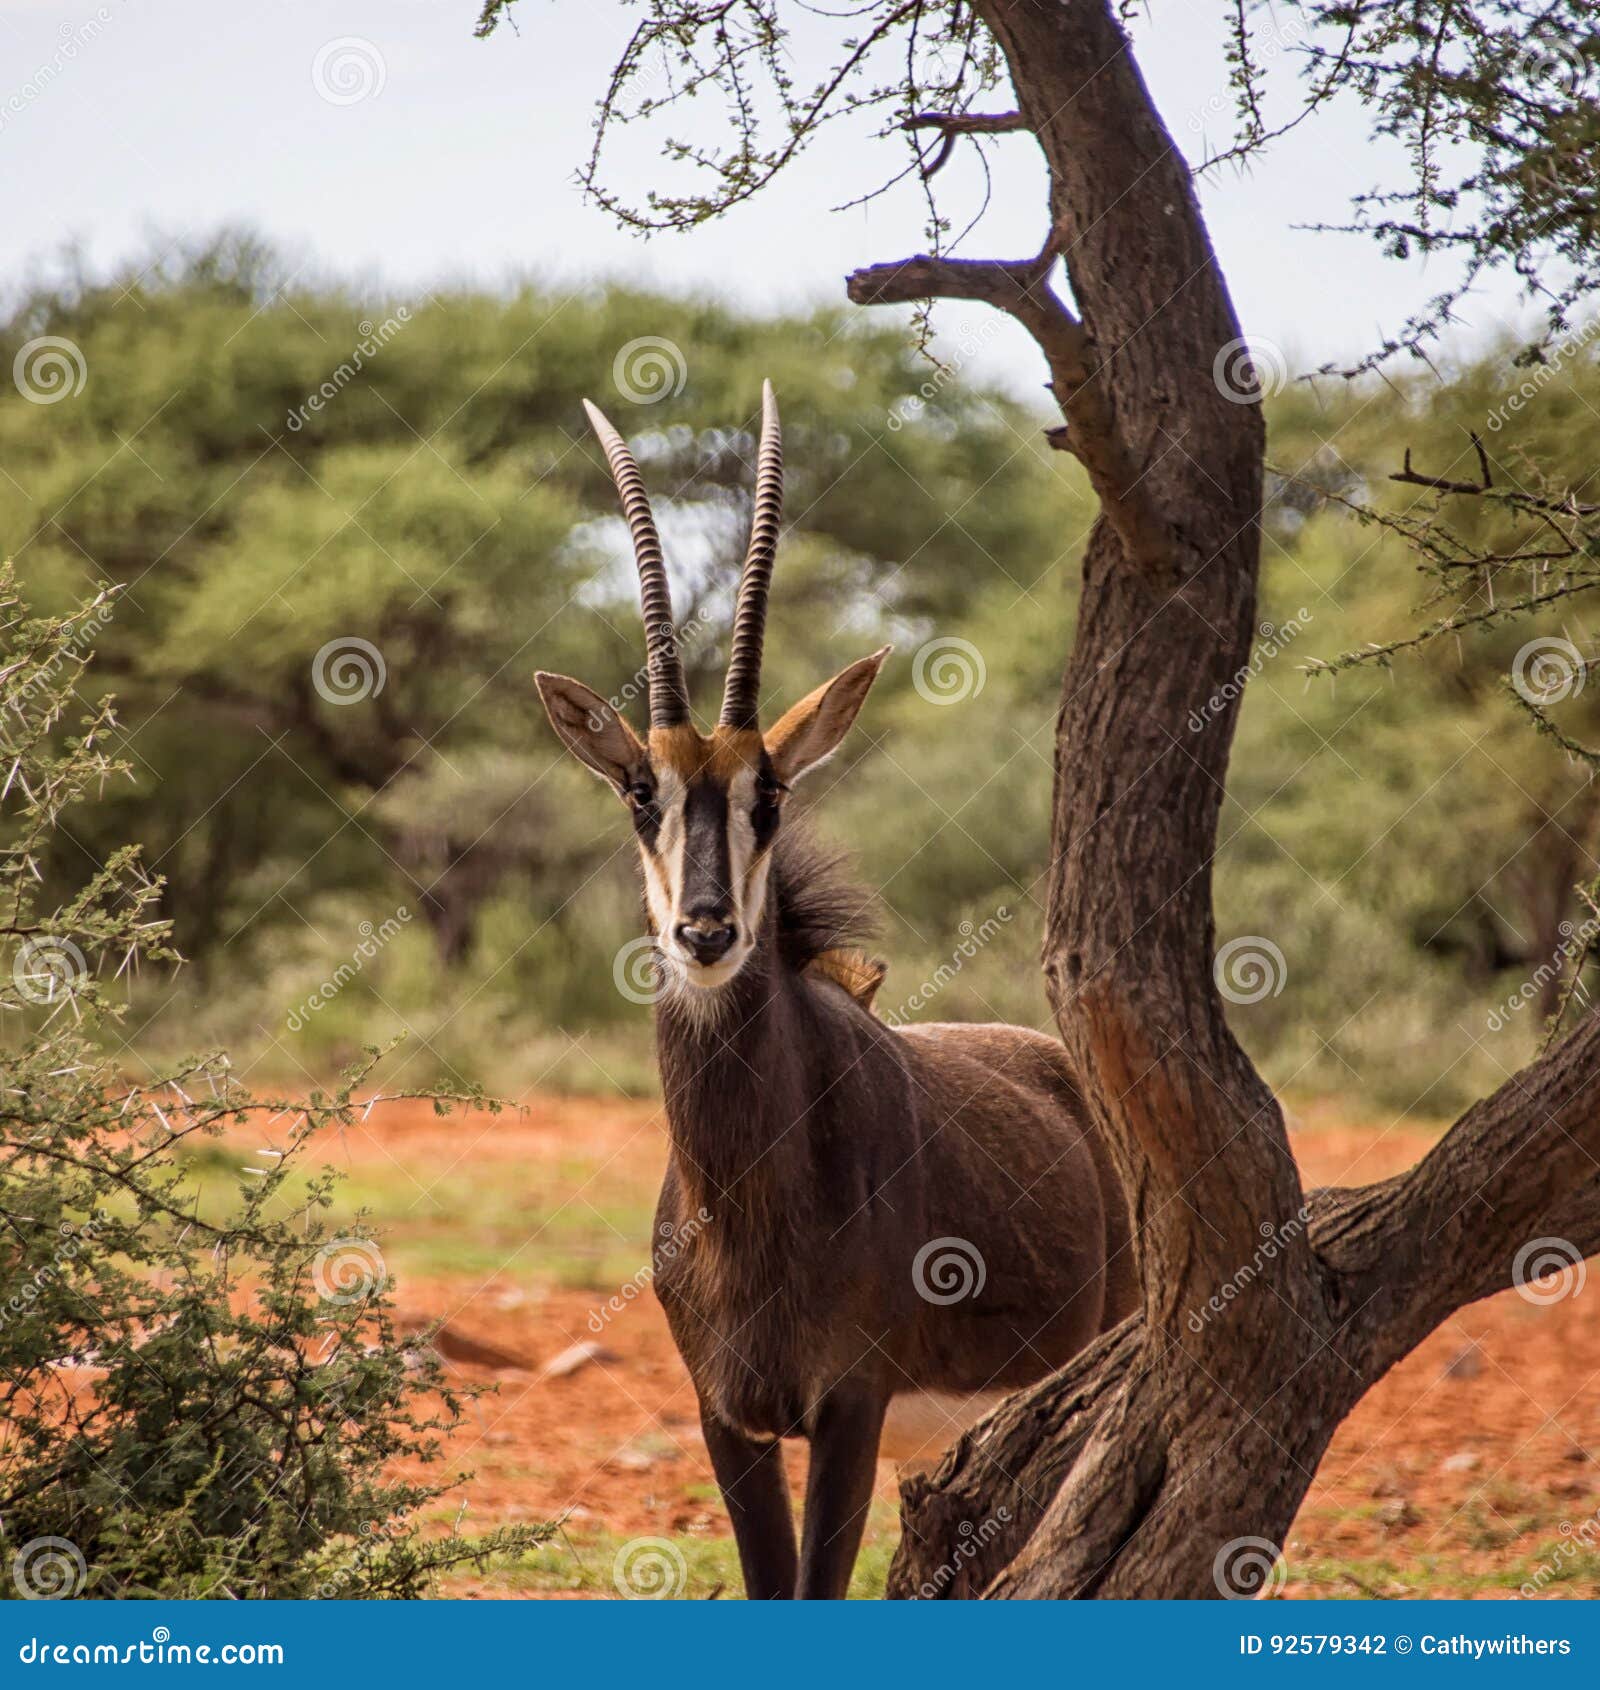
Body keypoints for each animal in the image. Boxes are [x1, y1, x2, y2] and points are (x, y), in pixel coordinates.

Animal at [536, 385, 1135, 1600]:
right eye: (639, 792)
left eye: (768, 793)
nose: (706, 931)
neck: (752, 1195)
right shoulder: (728, 1418)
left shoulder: (848, 1410)